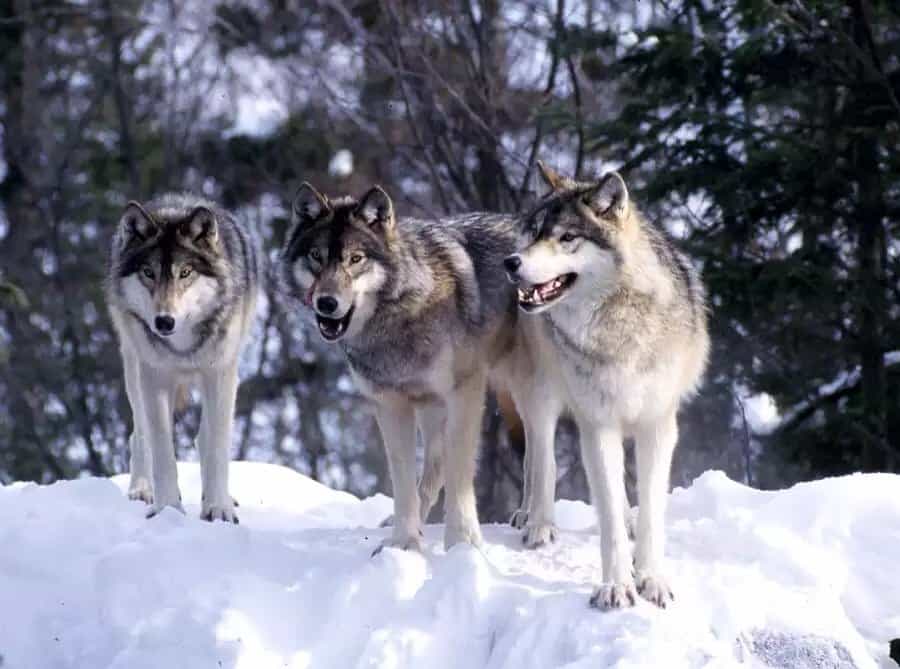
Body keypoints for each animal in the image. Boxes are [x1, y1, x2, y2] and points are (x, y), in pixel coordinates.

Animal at [106, 194, 261, 522]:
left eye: (185, 273)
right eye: (148, 273)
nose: (164, 321)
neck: (182, 347)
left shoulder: (221, 375)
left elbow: (217, 448)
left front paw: (218, 508)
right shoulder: (154, 378)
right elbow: (162, 452)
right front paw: (167, 509)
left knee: (205, 437)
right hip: (134, 369)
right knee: (139, 434)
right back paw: (142, 489)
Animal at [276, 182, 548, 552]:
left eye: (355, 259)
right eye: (316, 257)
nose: (327, 303)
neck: (399, 318)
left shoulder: (465, 393)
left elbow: (459, 472)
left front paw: (462, 543)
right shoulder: (390, 404)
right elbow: (404, 480)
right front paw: (404, 543)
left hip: (523, 386)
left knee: (538, 445)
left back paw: (532, 520)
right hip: (436, 409)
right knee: (438, 466)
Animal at [504, 163, 709, 609]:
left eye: (567, 238)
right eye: (535, 232)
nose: (511, 262)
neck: (618, 327)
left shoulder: (657, 426)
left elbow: (649, 512)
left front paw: (651, 578)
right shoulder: (597, 426)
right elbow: (609, 517)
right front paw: (616, 586)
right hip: (542, 395)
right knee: (541, 459)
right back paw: (536, 522)